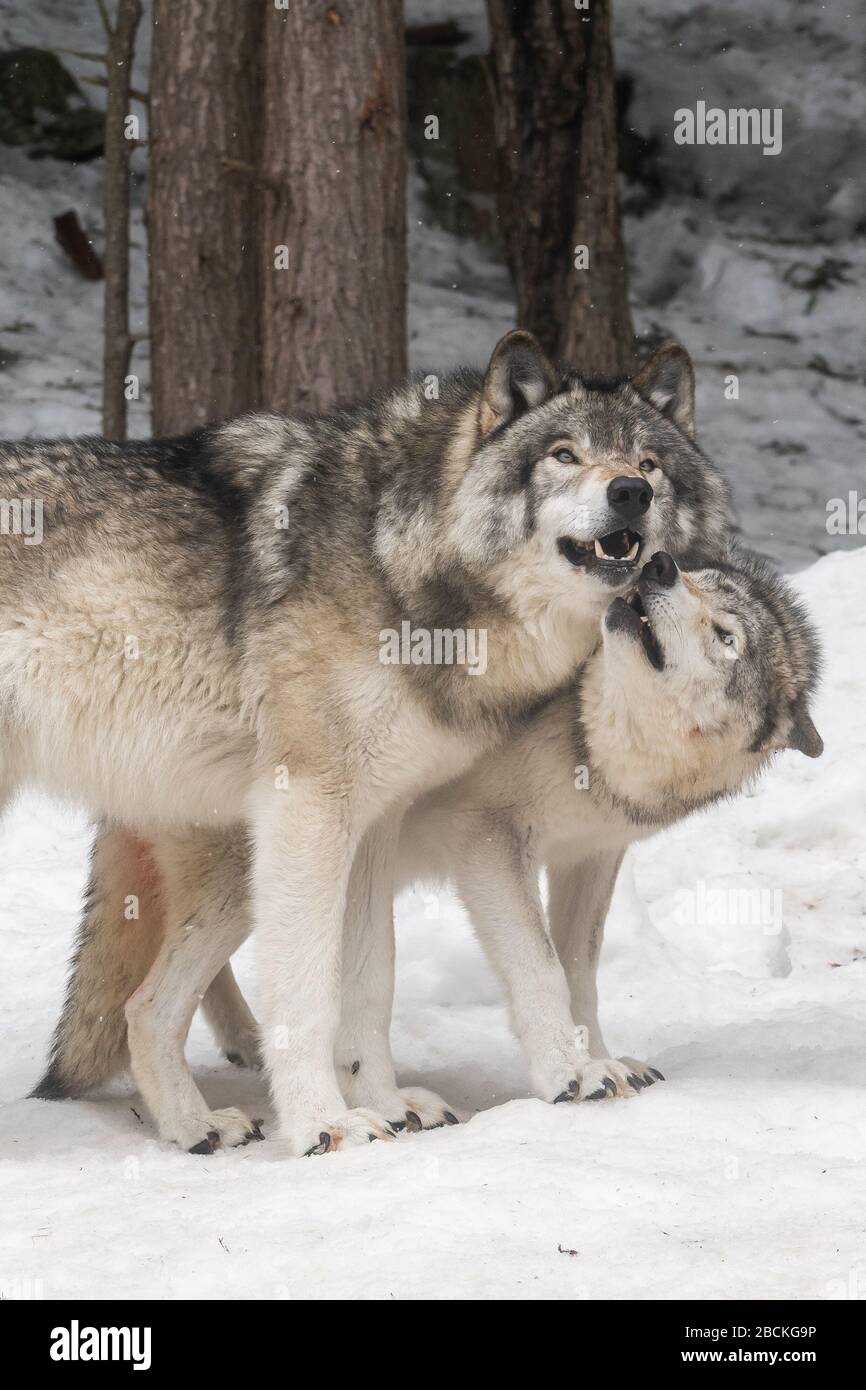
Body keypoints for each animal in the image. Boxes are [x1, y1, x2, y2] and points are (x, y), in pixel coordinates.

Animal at [18, 332, 729, 1155]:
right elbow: (309, 990)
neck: (401, 564)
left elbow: (370, 980)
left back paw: (196, 1127)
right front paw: (322, 1124)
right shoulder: (311, 808)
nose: (630, 494)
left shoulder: (375, 820)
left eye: (649, 463)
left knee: (144, 1006)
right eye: (564, 454)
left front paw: (388, 1108)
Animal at [37, 548, 821, 1132]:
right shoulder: (487, 839)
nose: (658, 564)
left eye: (725, 634)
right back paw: (199, 1121)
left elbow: (581, 974)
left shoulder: (592, 856)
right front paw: (570, 1075)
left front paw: (603, 1058)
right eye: (694, 582)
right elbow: (542, 970)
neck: (596, 743)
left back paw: (250, 1056)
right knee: (146, 1004)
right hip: (265, 872)